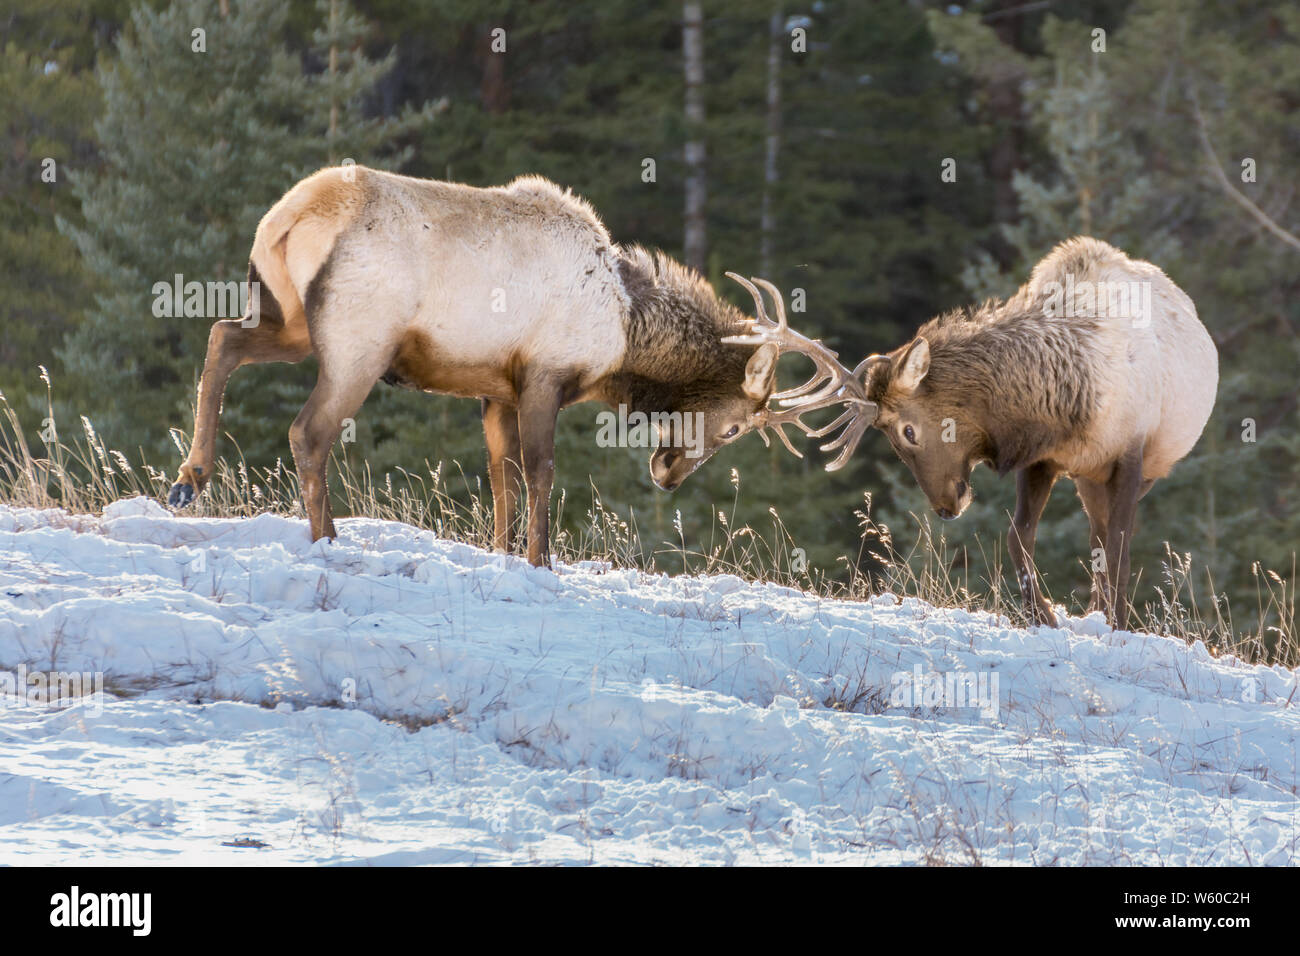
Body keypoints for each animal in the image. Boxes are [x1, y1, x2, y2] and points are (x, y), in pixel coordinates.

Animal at [166, 165, 863, 567]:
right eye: (737, 426)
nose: (668, 473)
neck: (625, 331)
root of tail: (288, 217)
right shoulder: (544, 377)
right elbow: (540, 471)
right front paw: (539, 561)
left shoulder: (495, 389)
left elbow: (499, 477)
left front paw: (504, 554)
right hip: (357, 340)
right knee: (307, 431)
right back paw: (327, 540)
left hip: (288, 316)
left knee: (223, 338)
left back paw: (190, 477)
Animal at [758, 237, 1219, 630]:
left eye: (909, 431)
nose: (946, 506)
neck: (1065, 399)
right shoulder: (1044, 459)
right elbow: (1020, 538)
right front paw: (1042, 615)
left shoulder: (1129, 453)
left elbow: (1121, 547)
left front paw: (1117, 625)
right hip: (1088, 479)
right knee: (1096, 536)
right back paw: (1094, 611)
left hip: (1142, 471)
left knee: (1110, 538)